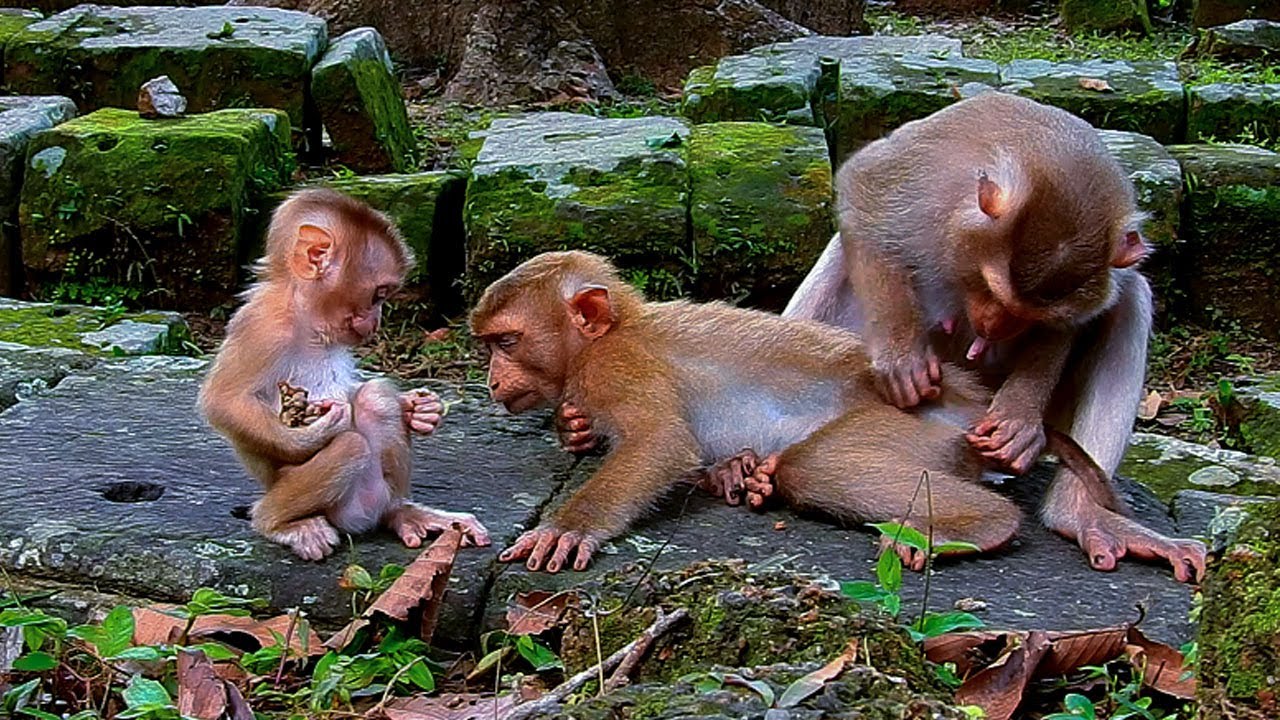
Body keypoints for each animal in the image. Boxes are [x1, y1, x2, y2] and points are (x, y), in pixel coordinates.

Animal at [199, 188, 490, 561]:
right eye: (378, 295)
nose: (377, 321)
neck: (306, 317)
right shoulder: (263, 327)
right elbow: (223, 401)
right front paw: (311, 435)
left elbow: (359, 391)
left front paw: (419, 409)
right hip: (334, 506)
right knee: (350, 446)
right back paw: (278, 522)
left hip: (375, 491)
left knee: (375, 399)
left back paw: (400, 511)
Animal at [469, 251, 1200, 577]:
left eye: (505, 341)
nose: (492, 377)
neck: (610, 333)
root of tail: (969, 398)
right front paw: (573, 430)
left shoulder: (617, 368)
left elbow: (660, 443)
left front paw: (568, 527)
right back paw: (741, 475)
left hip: (919, 430)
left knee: (818, 465)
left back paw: (971, 529)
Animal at [782, 91, 1205, 581]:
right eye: (990, 288)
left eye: (1029, 317)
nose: (990, 327)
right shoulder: (924, 176)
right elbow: (863, 190)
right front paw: (901, 357)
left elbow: (1077, 321)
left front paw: (1019, 419)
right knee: (843, 254)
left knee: (1133, 294)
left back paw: (1081, 514)